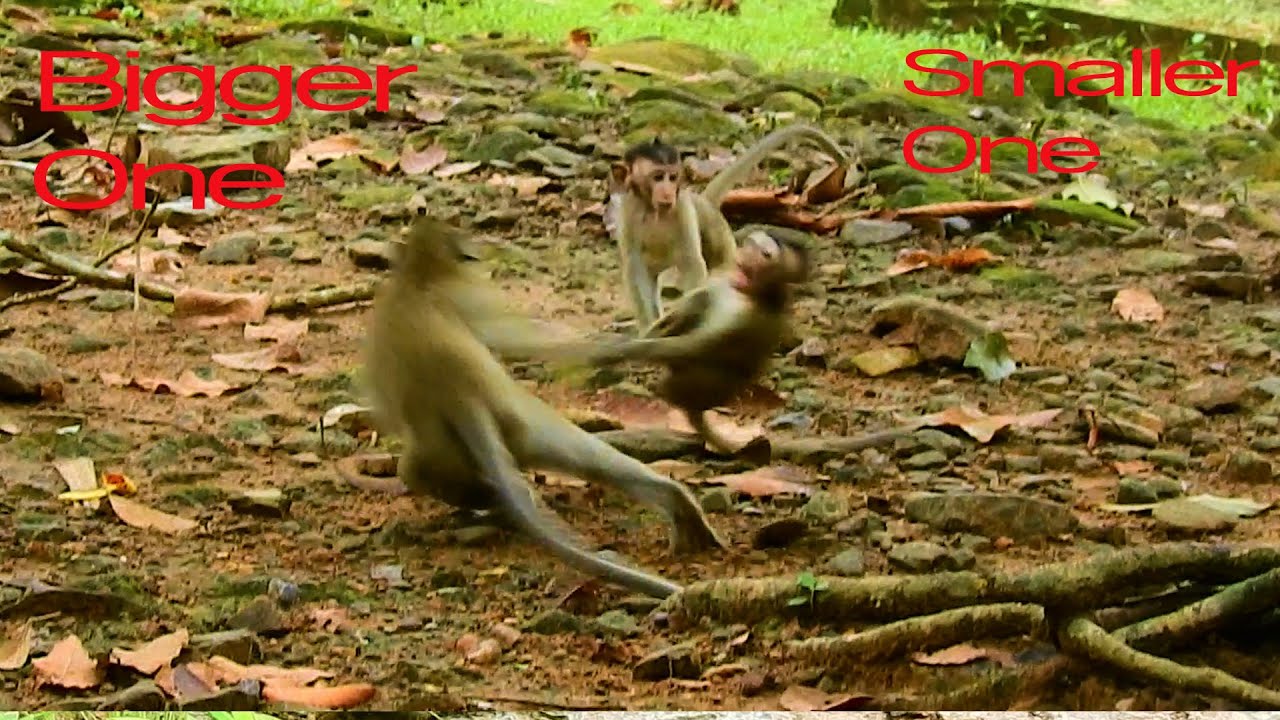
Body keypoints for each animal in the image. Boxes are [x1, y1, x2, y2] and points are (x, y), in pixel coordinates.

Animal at [588, 228, 810, 456]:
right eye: (751, 244)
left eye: (765, 254)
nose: (746, 252)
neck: (745, 291)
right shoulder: (722, 280)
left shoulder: (745, 315)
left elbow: (699, 347)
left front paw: (617, 350)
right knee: (698, 302)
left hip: (708, 389)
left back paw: (668, 392)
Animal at [611, 123, 848, 331]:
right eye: (658, 177)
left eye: (672, 177)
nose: (668, 192)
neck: (653, 210)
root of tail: (705, 203)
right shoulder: (627, 211)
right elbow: (634, 268)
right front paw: (648, 328)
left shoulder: (682, 209)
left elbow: (691, 262)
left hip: (718, 236)